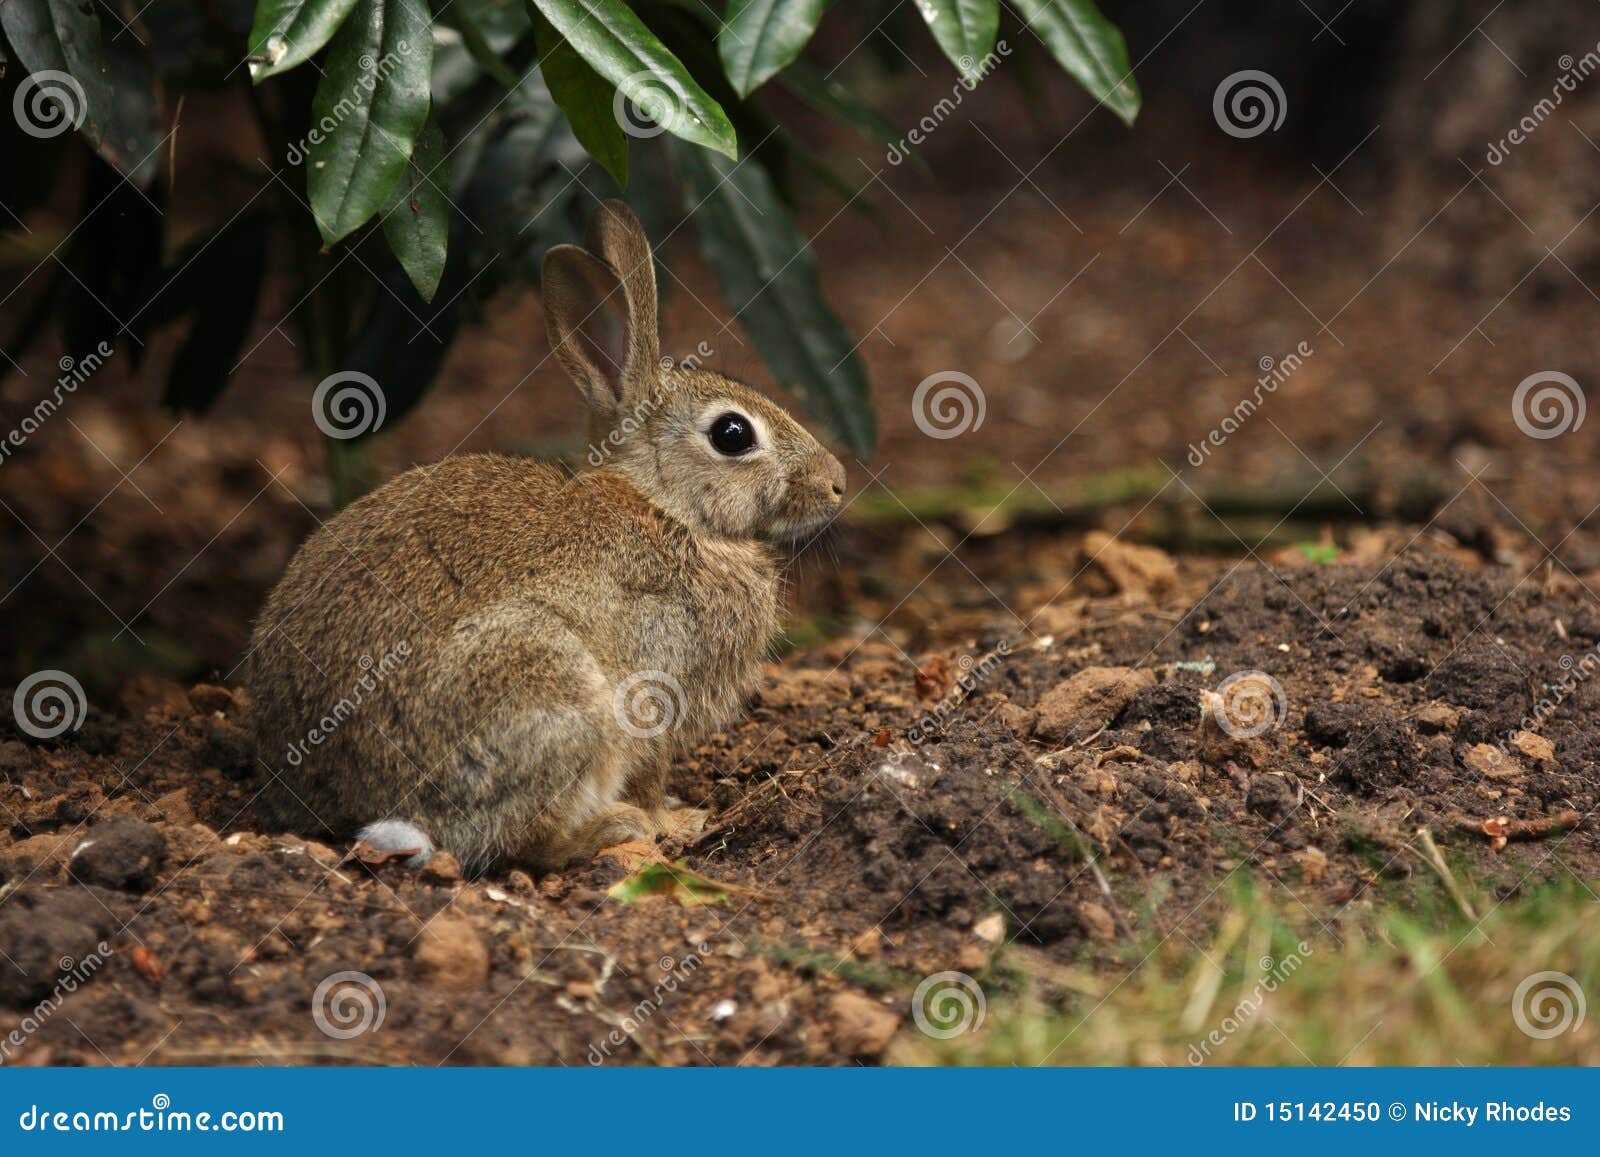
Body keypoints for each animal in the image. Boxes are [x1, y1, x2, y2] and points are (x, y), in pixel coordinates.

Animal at [246, 200, 847, 874]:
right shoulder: (656, 684)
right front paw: (676, 820)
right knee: (527, 839)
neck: (666, 508)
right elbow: (650, 769)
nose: (838, 483)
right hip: (551, 688)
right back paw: (614, 828)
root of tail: (325, 797)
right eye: (733, 435)